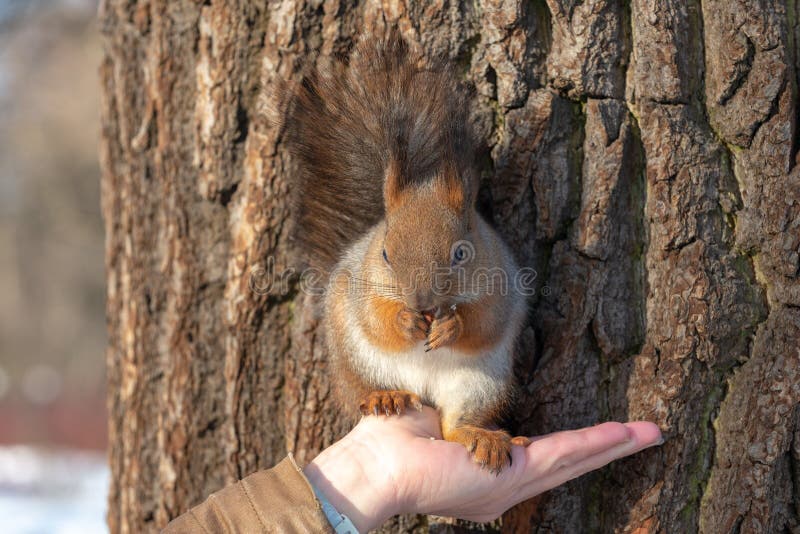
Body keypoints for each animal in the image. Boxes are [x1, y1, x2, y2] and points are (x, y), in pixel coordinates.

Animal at [285, 33, 530, 472]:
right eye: (384, 253)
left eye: (461, 253)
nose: (419, 302)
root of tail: (423, 389)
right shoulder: (362, 282)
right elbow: (375, 317)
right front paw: (403, 320)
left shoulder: (501, 283)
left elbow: (485, 321)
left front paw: (452, 326)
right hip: (357, 365)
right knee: (362, 390)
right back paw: (386, 396)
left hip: (480, 383)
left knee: (455, 423)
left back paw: (479, 436)